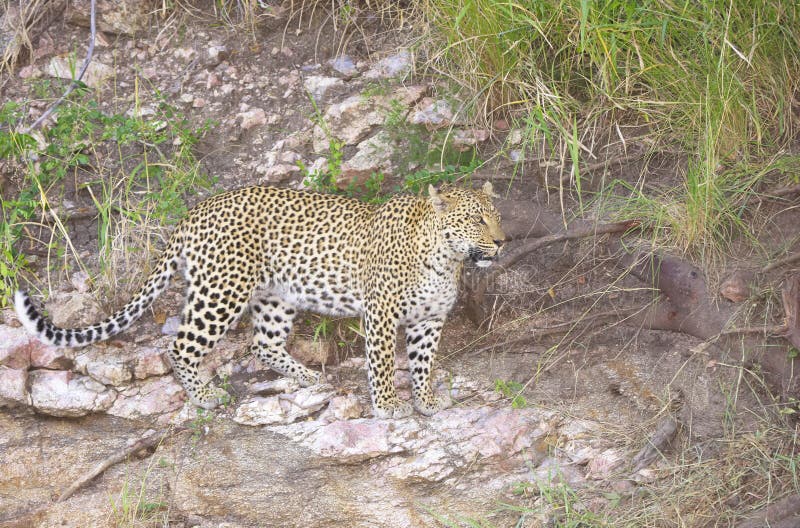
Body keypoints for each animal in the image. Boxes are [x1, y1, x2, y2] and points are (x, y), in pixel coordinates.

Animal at [14, 182, 508, 418]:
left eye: (497, 217)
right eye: (477, 220)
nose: (503, 242)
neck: (445, 258)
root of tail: (195, 211)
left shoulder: (429, 320)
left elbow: (423, 364)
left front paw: (425, 400)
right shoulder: (382, 313)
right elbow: (384, 363)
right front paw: (388, 405)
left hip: (275, 296)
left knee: (262, 343)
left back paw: (307, 376)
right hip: (221, 291)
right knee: (179, 345)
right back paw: (204, 396)